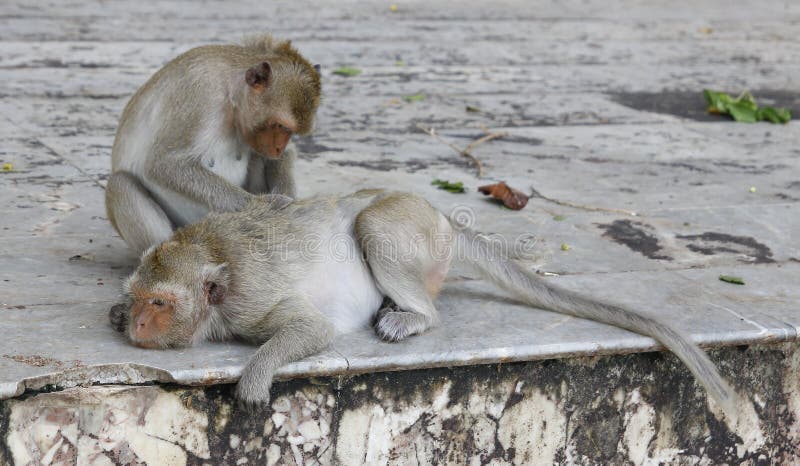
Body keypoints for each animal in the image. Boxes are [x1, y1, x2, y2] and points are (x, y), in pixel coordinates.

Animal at [105, 34, 322, 254]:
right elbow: (164, 164)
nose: (278, 148)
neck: (230, 95)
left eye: (290, 131)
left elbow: (282, 156)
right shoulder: (200, 95)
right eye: (279, 125)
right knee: (120, 183)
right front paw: (263, 205)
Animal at [109, 190, 738, 419]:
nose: (138, 321)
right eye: (140, 297)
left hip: (406, 224)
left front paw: (256, 375)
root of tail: (439, 215)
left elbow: (308, 329)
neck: (210, 258)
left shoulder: (248, 301)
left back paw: (412, 314)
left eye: (161, 303)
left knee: (371, 225)